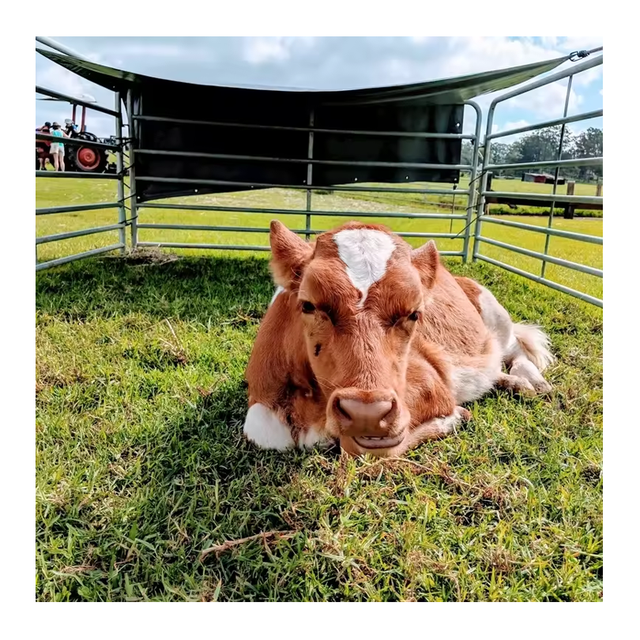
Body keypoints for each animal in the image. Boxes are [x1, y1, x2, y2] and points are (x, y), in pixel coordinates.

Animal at [243, 220, 553, 457]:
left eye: (414, 313)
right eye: (308, 305)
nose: (365, 412)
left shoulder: (428, 385)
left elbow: (370, 447)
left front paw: (454, 418)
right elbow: (261, 432)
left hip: (494, 312)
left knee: (515, 350)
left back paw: (533, 382)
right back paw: (511, 383)